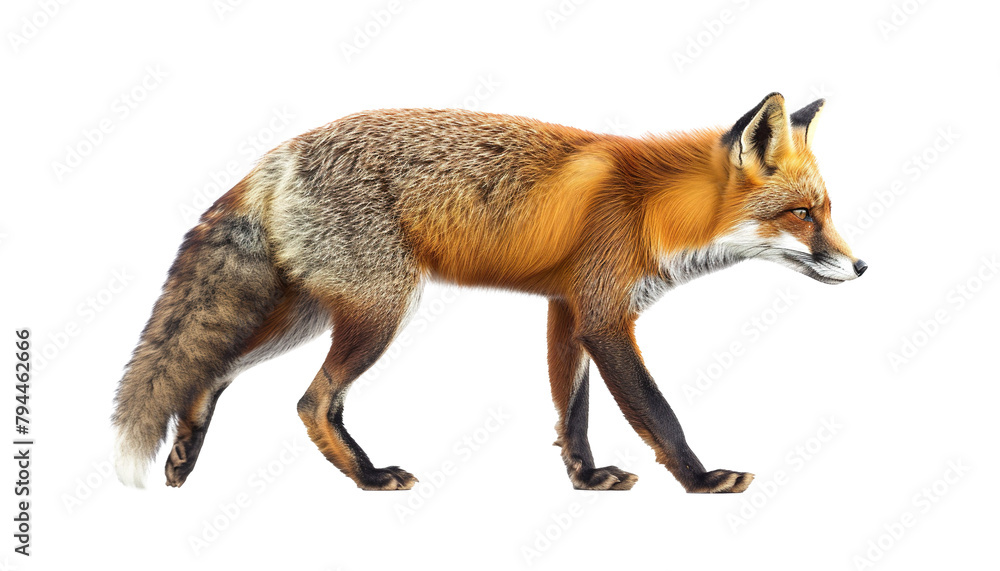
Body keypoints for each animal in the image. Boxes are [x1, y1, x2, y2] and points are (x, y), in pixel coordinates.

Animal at [112, 92, 866, 493]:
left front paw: (586, 480)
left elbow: (572, 415)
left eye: (827, 210)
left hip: (311, 311)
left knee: (212, 371)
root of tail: (280, 155)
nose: (862, 268)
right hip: (381, 310)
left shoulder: (567, 312)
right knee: (310, 401)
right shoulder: (605, 315)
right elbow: (659, 413)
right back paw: (369, 478)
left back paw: (184, 455)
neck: (654, 206)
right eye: (803, 214)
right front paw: (702, 482)